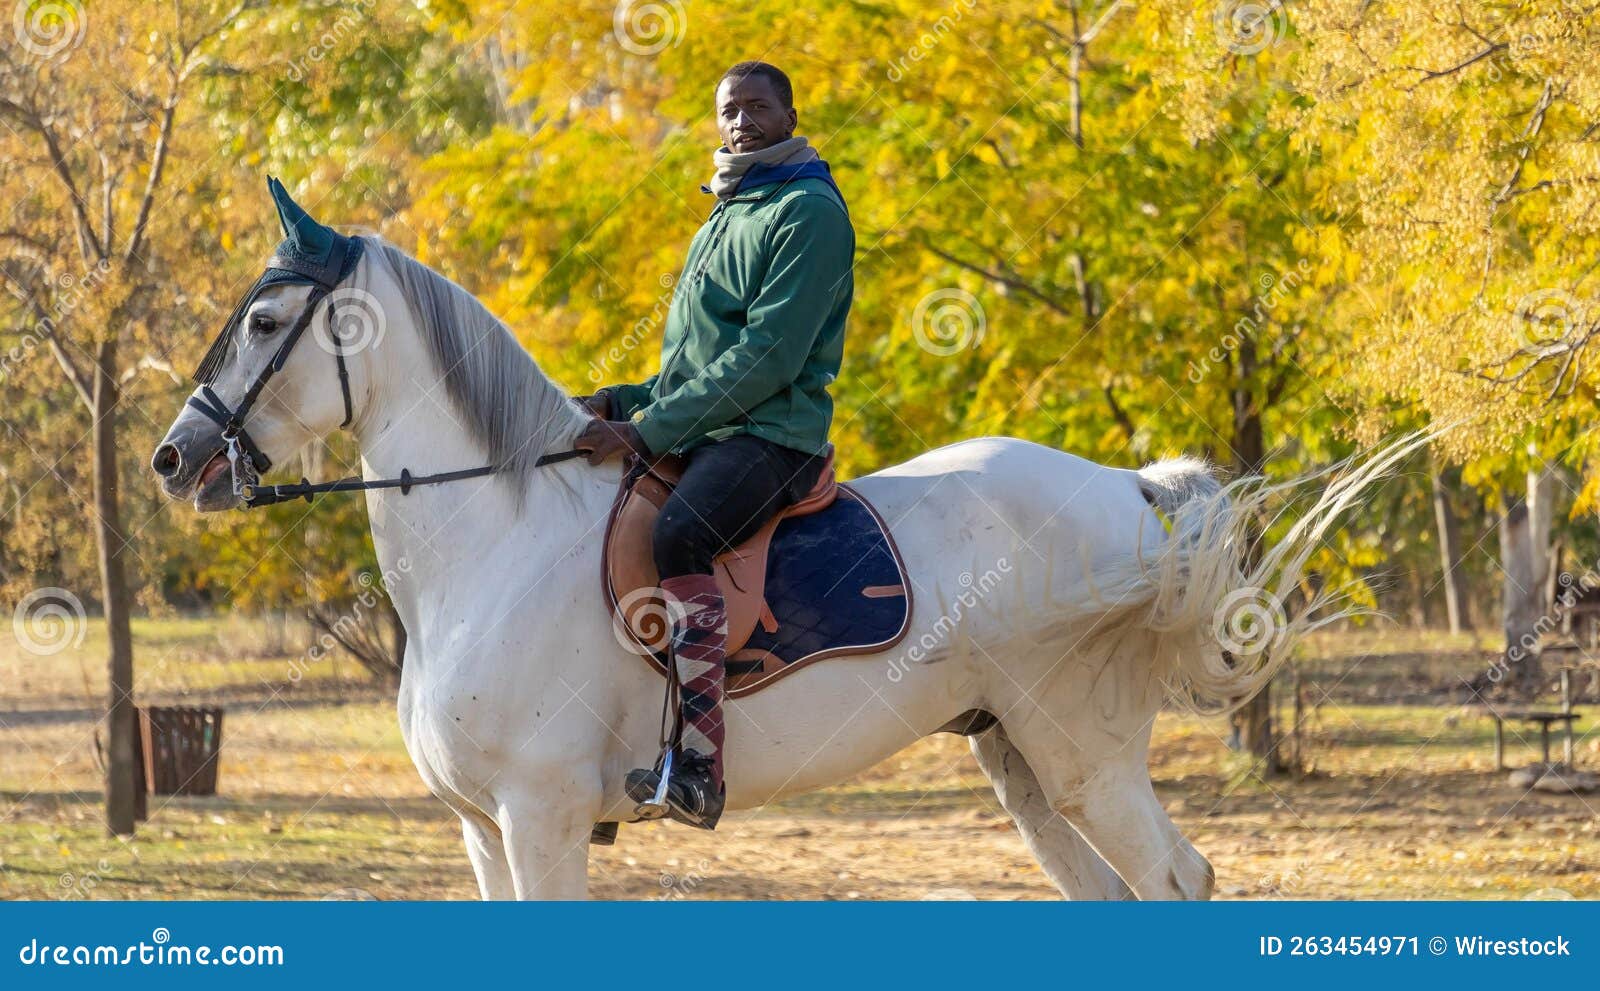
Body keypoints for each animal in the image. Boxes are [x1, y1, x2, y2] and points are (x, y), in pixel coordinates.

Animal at [152, 215, 1417, 900]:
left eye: (265, 324)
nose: (175, 458)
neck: (494, 539)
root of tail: (1132, 491)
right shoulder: (481, 827)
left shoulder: (539, 815)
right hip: (1017, 758)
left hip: (1083, 754)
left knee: (1171, 879)